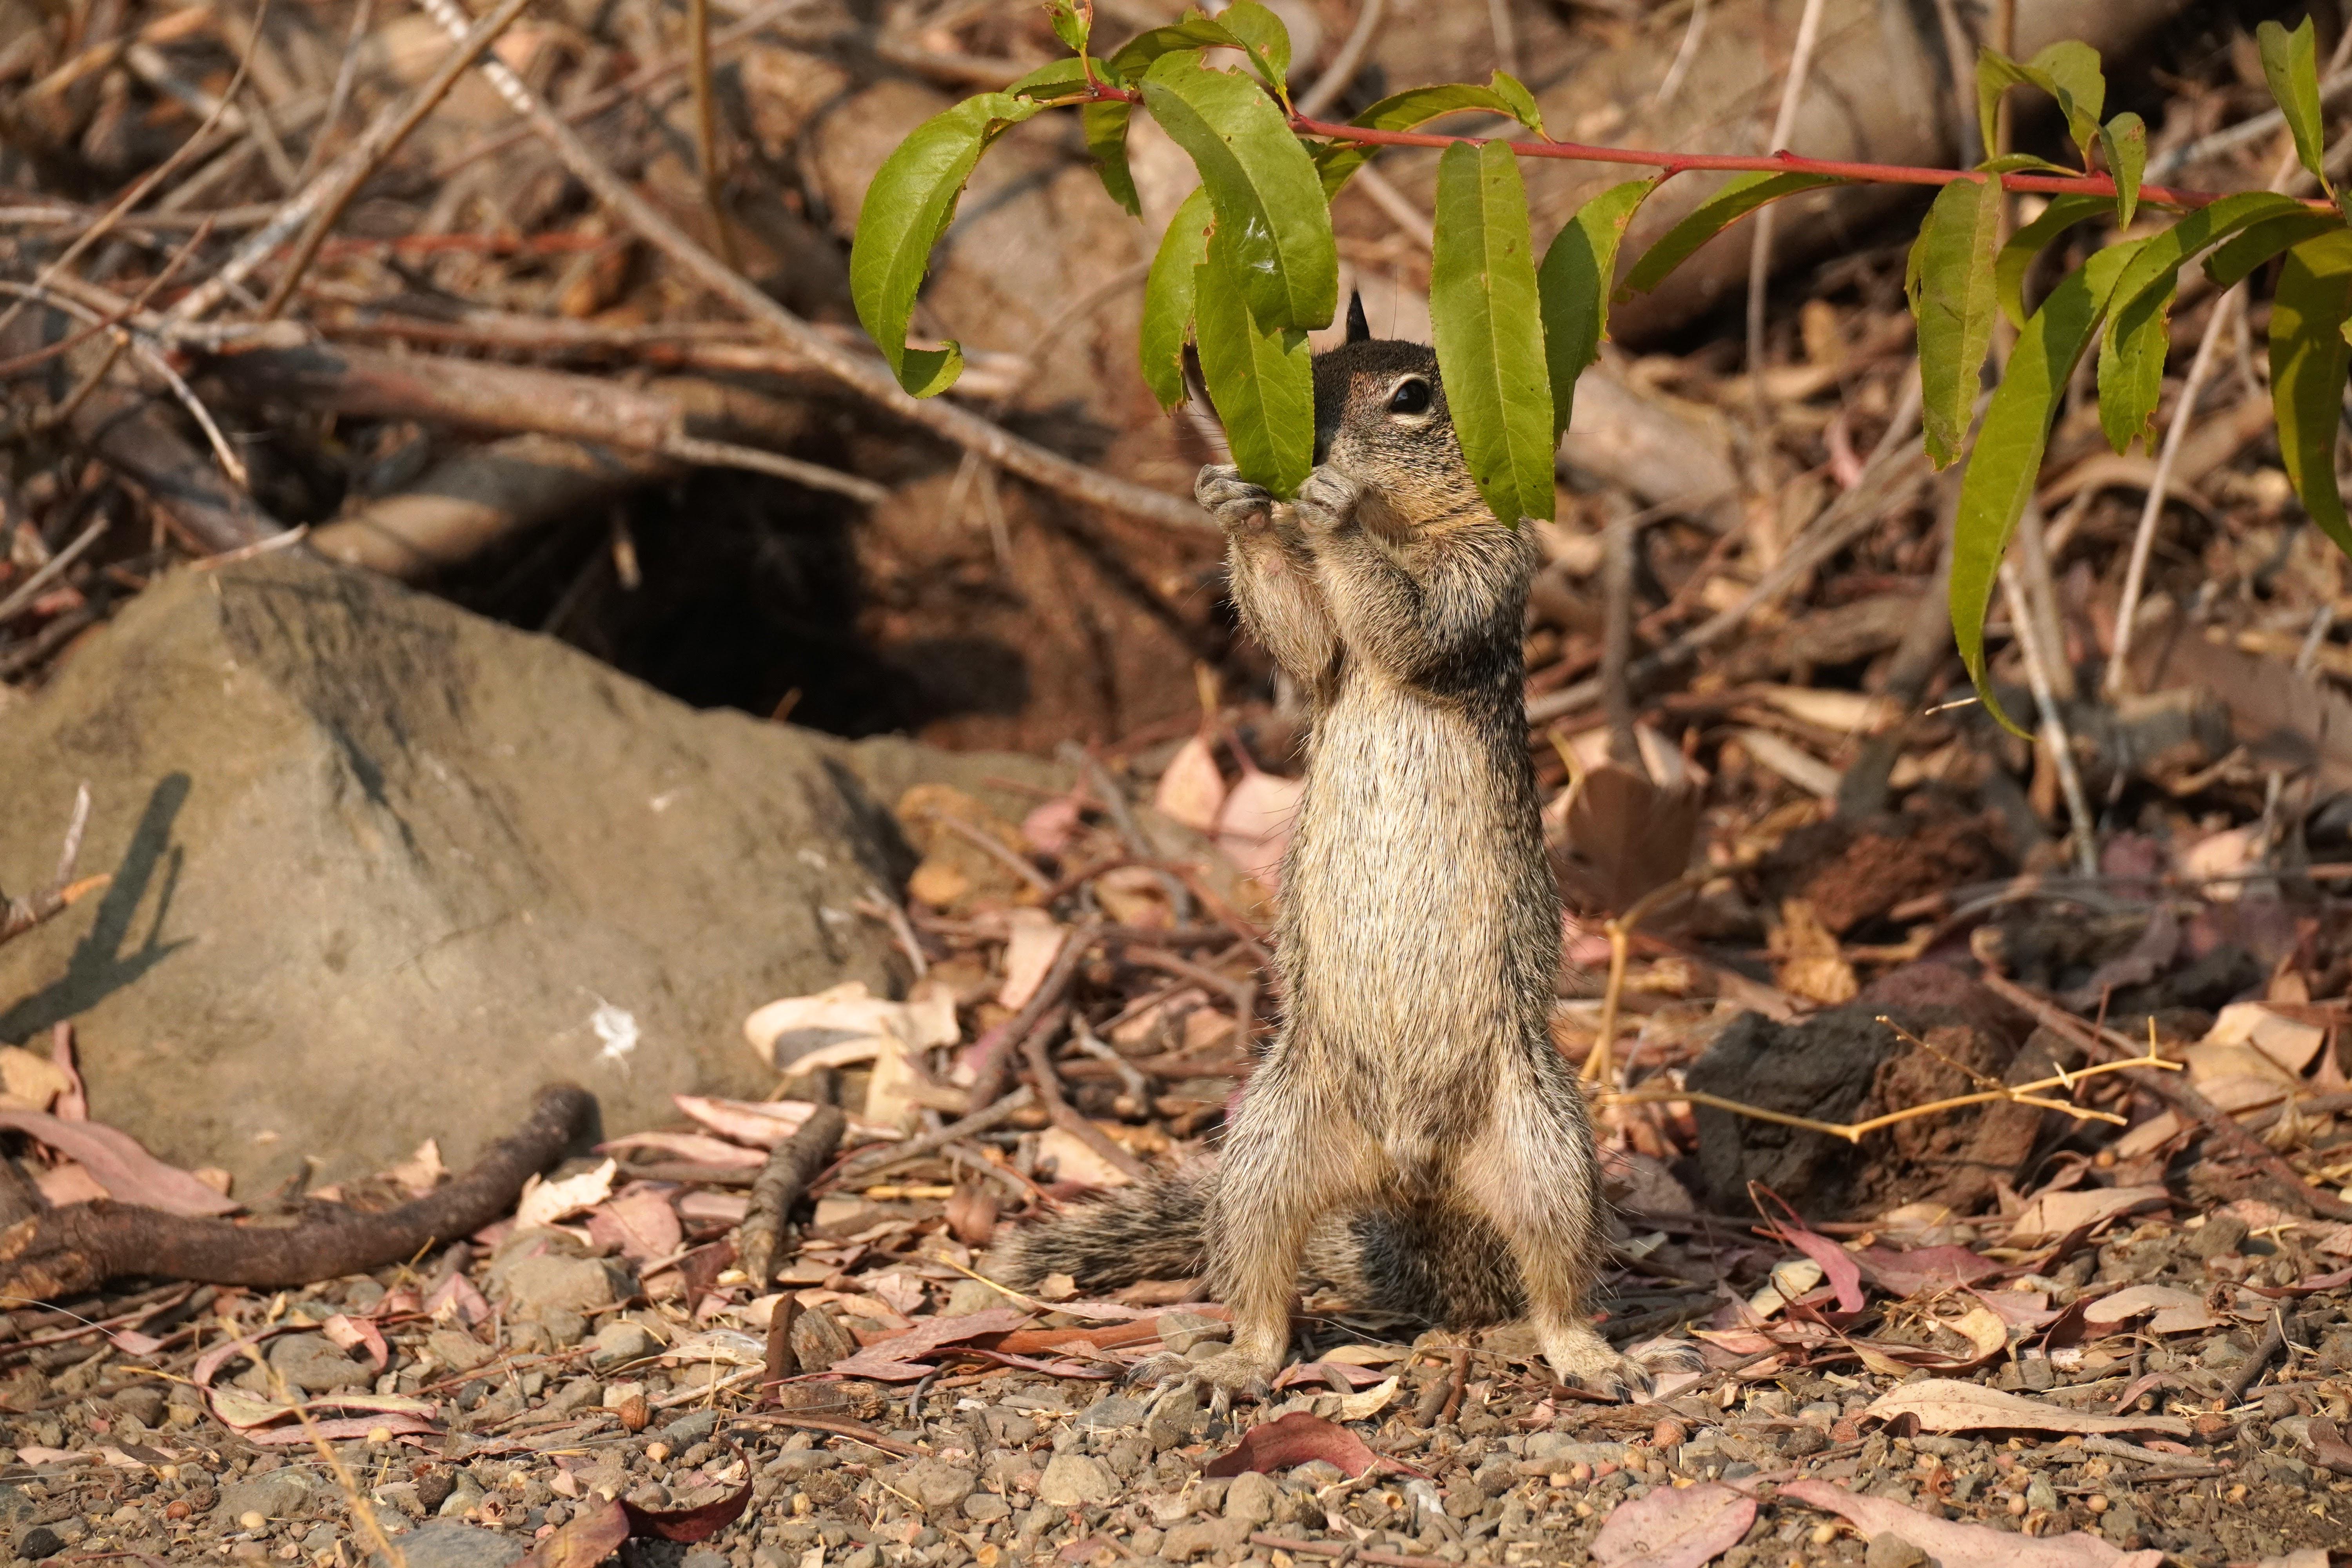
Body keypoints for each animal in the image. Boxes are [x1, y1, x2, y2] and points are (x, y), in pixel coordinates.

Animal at [994, 297, 1675, 1404]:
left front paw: (1334, 510)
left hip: (1546, 1150)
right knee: (1263, 1277)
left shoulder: (1493, 570)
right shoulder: (1321, 643)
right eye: (1306, 374)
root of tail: (1414, 1183)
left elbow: (1414, 624)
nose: (1294, 450)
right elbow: (1305, 636)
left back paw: (1589, 1353)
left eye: (1414, 396)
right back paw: (1237, 1359)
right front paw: (1236, 503)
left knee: (1558, 1282)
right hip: (1266, 1148)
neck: (1405, 525)